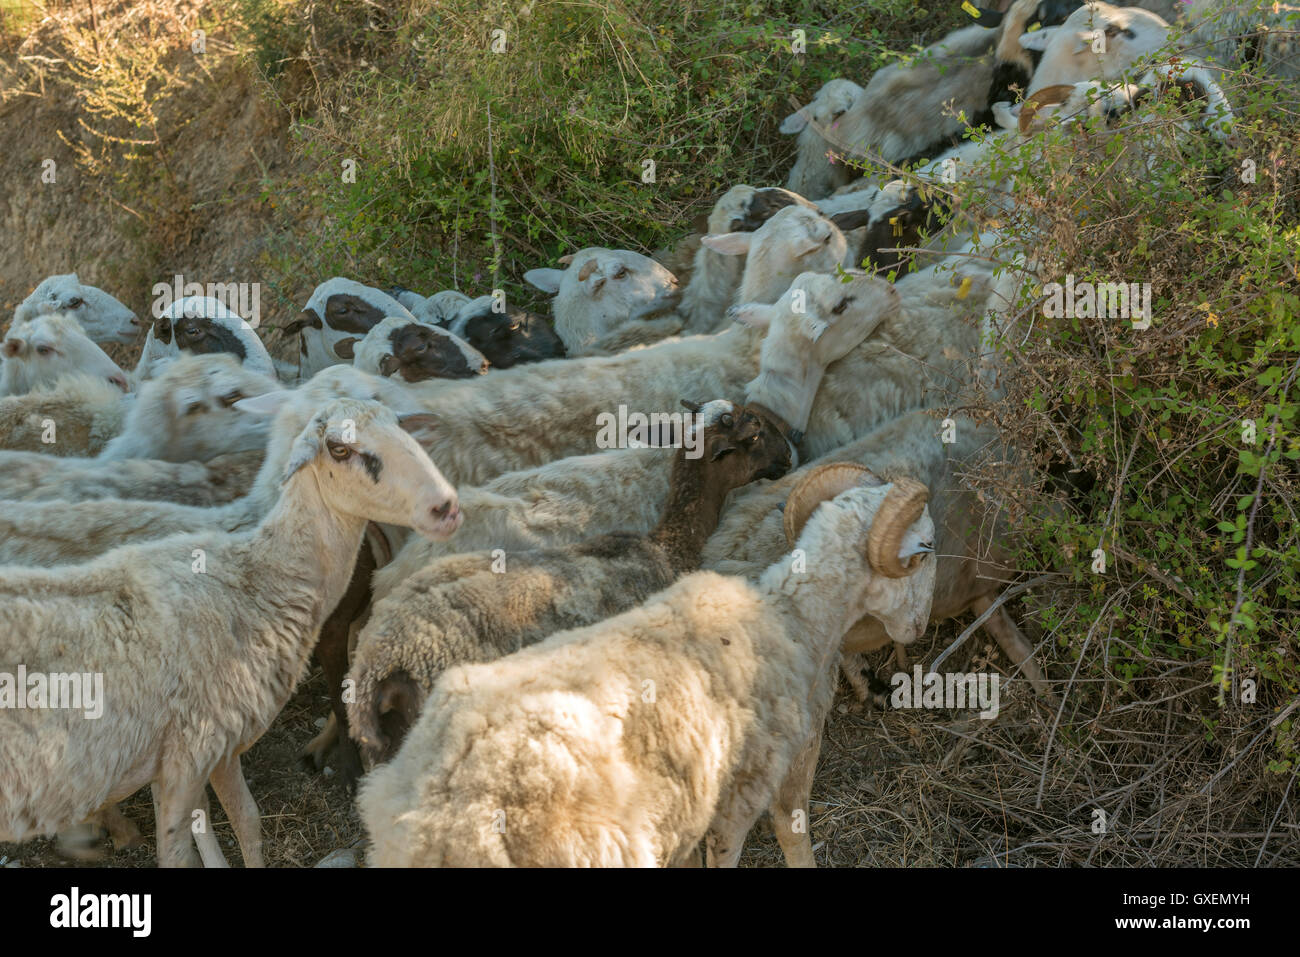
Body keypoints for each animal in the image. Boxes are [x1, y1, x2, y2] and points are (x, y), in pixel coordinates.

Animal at [0, 397, 461, 868]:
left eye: (401, 426)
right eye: (339, 449)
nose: (446, 508)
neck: (254, 581)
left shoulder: (171, 760)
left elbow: (213, 823)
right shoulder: (200, 750)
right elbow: (240, 824)